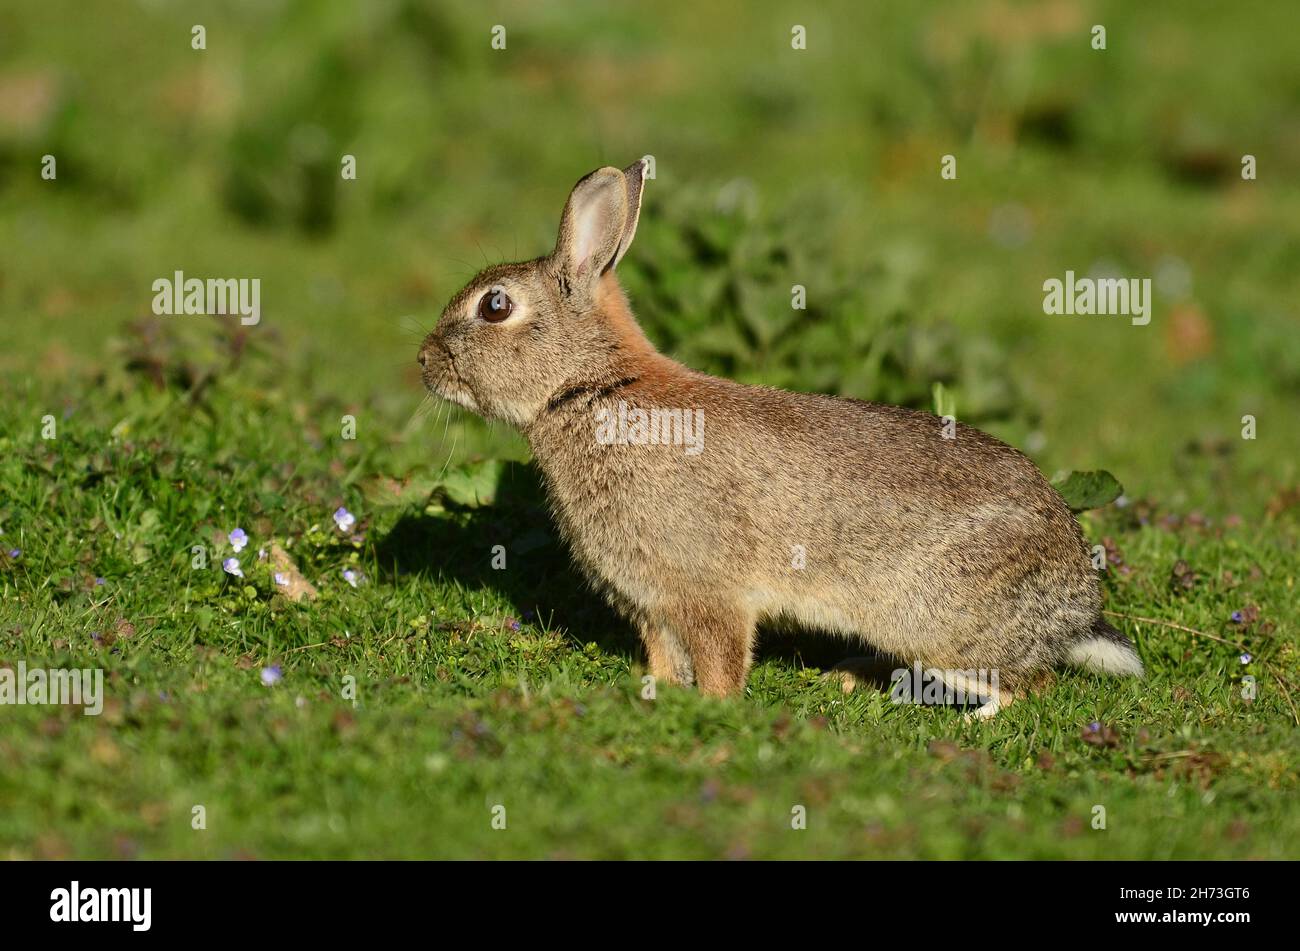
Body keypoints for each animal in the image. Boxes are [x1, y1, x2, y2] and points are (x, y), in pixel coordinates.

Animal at [417, 159, 1144, 717]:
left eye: (496, 306)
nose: (423, 362)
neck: (593, 387)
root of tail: (1076, 599)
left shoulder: (707, 590)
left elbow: (721, 656)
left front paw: (713, 705)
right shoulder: (653, 601)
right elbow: (664, 654)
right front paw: (653, 690)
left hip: (934, 623)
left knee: (1028, 684)